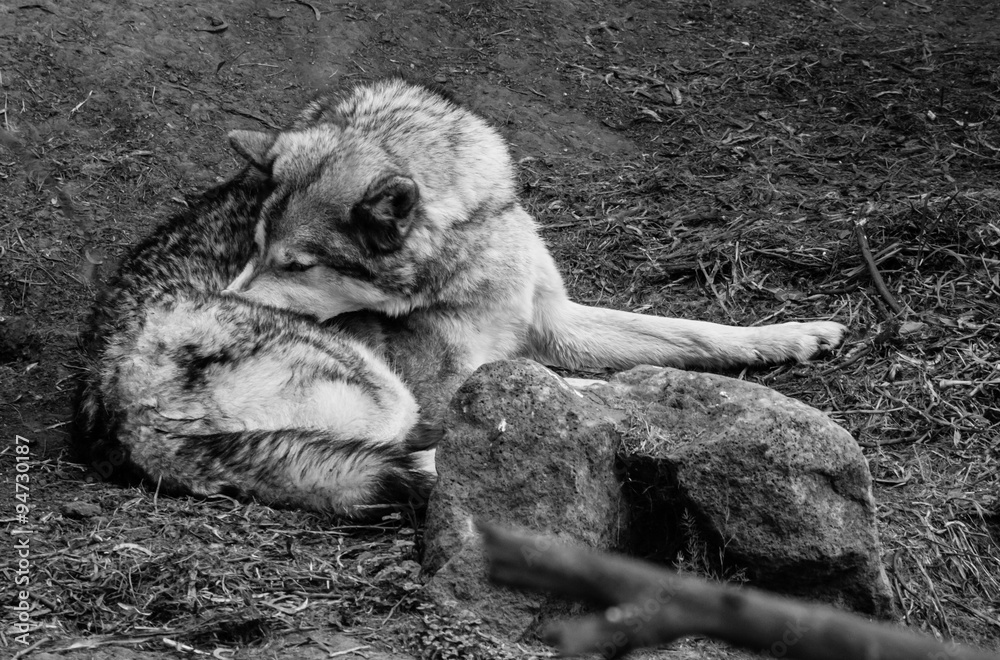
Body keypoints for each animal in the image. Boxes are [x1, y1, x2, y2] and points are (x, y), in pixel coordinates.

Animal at [225, 79, 846, 425]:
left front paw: (792, 336)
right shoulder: (444, 385)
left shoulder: (555, 319)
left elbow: (694, 332)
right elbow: (548, 387)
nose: (220, 301)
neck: (468, 258)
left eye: (297, 265)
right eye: (256, 249)